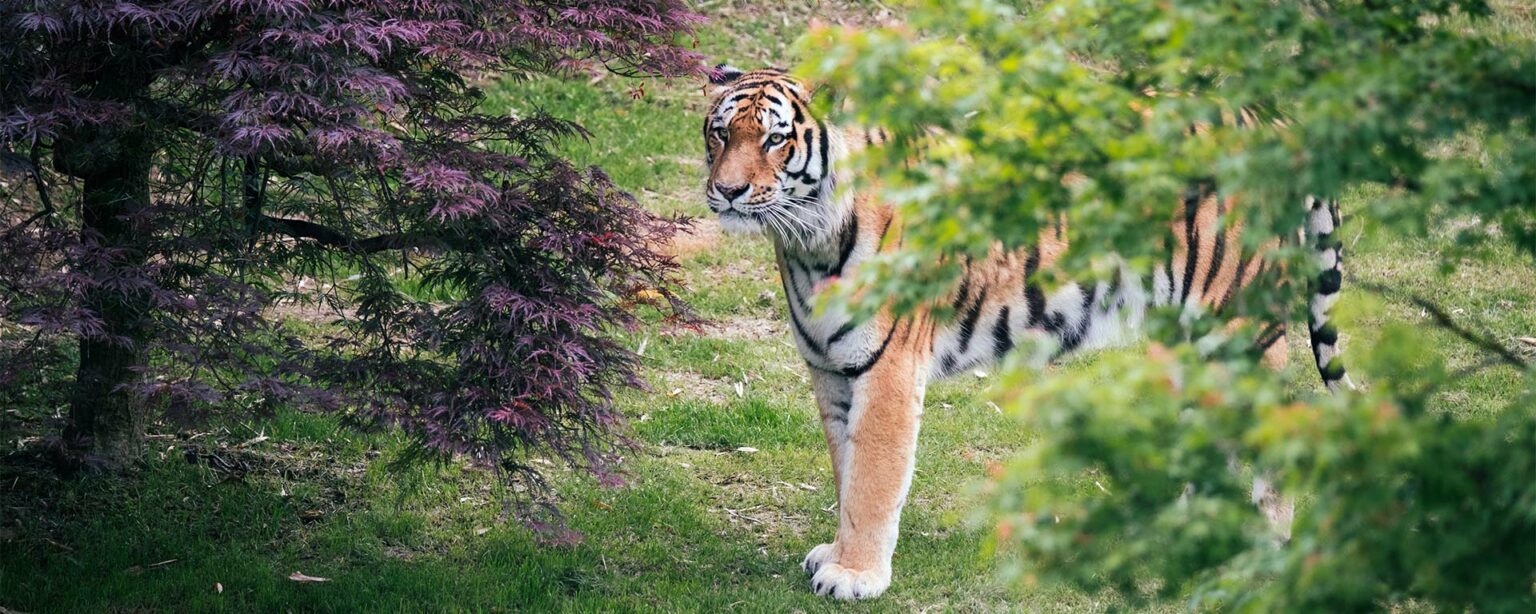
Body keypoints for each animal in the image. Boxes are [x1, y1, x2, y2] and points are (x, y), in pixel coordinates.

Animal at [700, 65, 1353, 600]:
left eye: (775, 139)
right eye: (720, 134)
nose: (727, 191)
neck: (808, 241)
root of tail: (1269, 118)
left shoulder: (886, 370)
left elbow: (872, 480)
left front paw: (856, 575)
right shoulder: (831, 369)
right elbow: (844, 469)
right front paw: (838, 554)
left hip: (1235, 323)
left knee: (1285, 415)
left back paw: (1266, 543)